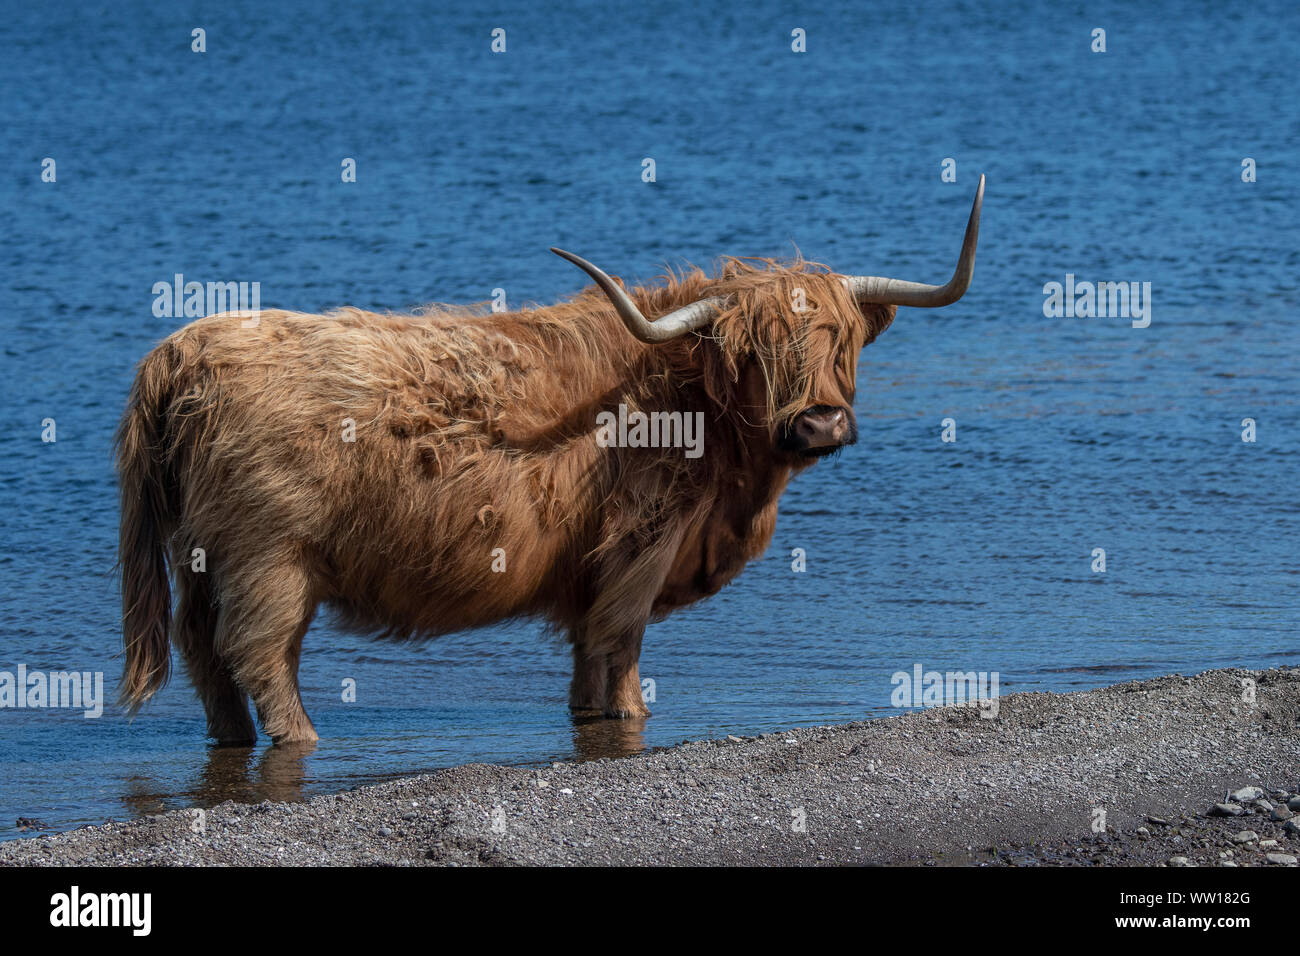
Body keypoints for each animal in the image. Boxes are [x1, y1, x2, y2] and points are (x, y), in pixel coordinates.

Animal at [117, 177, 984, 745]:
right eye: (754, 351)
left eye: (842, 340)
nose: (819, 422)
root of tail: (183, 348)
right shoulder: (644, 540)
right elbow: (621, 641)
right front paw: (633, 716)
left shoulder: (593, 563)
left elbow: (586, 653)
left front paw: (591, 716)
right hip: (270, 558)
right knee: (259, 653)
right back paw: (302, 739)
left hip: (200, 557)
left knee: (203, 648)